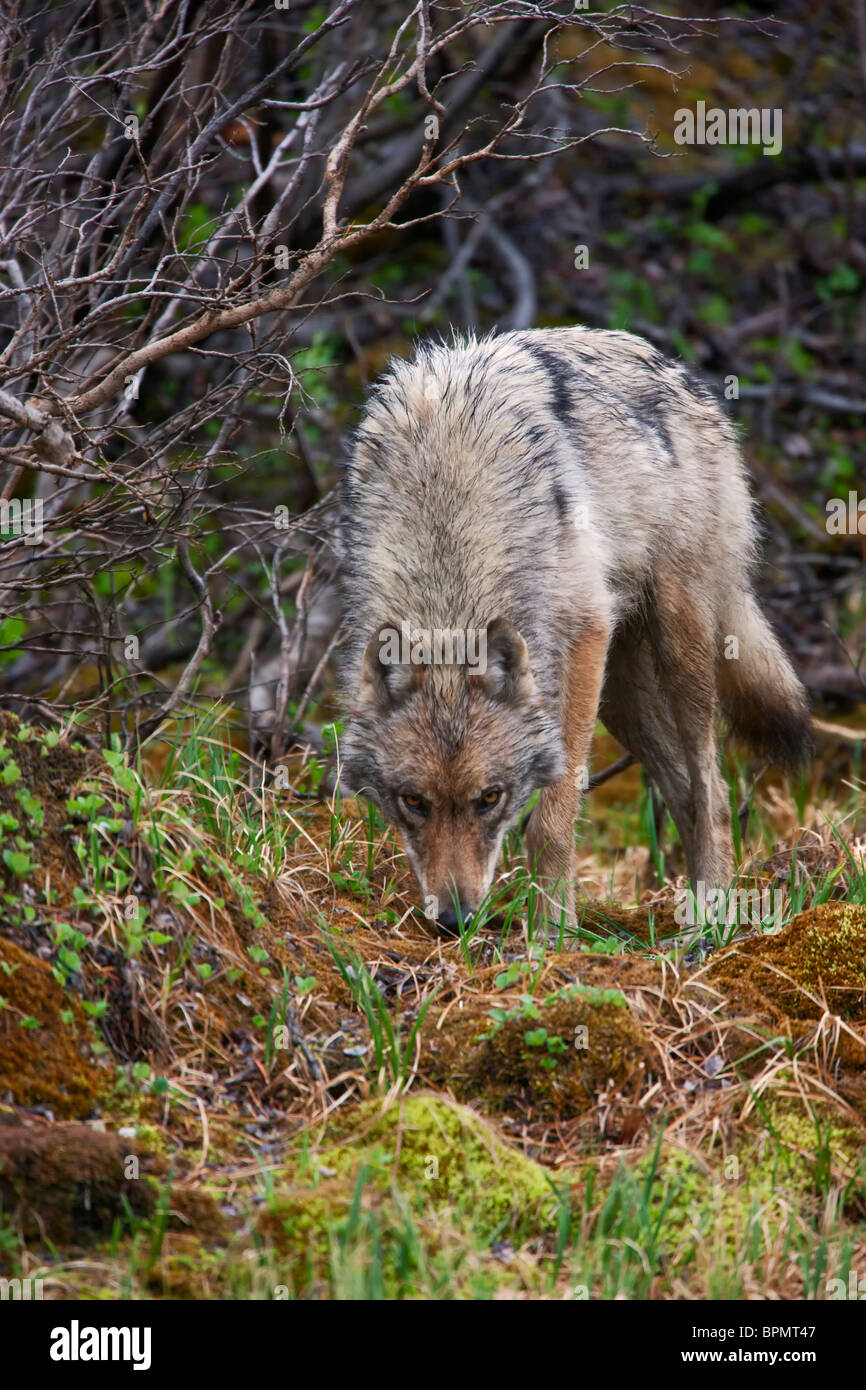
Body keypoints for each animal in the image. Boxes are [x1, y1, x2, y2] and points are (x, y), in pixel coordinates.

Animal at [337, 327, 812, 931]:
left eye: (490, 798)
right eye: (413, 801)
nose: (455, 919)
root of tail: (681, 372)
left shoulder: (586, 633)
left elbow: (551, 822)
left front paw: (551, 930)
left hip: (676, 644)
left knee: (715, 788)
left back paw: (709, 918)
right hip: (621, 693)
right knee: (682, 790)